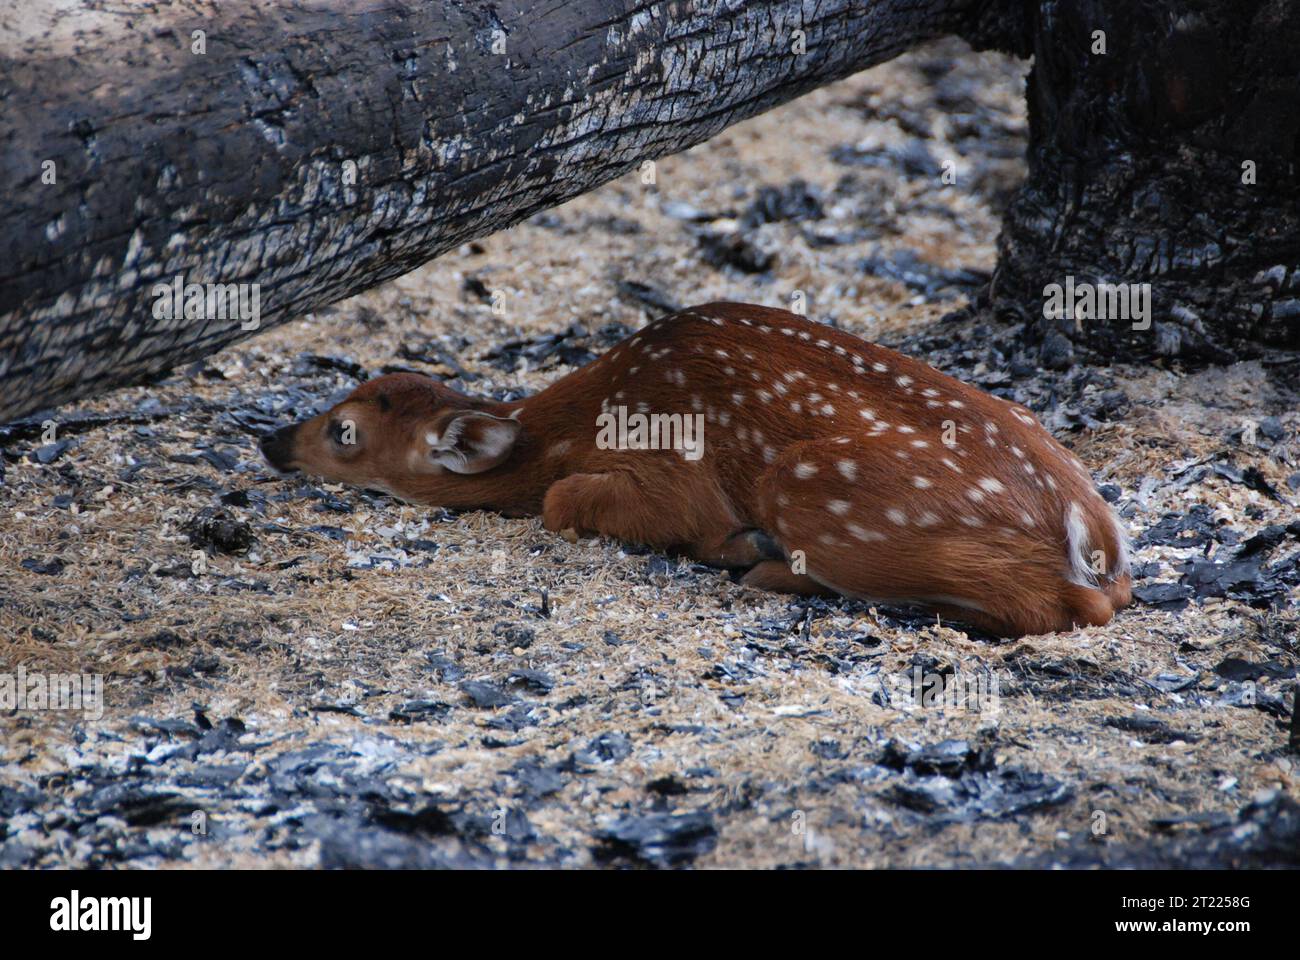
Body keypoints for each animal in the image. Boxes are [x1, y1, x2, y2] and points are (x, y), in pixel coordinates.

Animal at [259, 302, 1131, 637]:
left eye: (343, 431)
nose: (271, 439)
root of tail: (1086, 530)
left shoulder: (670, 473)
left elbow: (562, 498)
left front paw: (732, 546)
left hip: (816, 493)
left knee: (1056, 606)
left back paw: (767, 567)